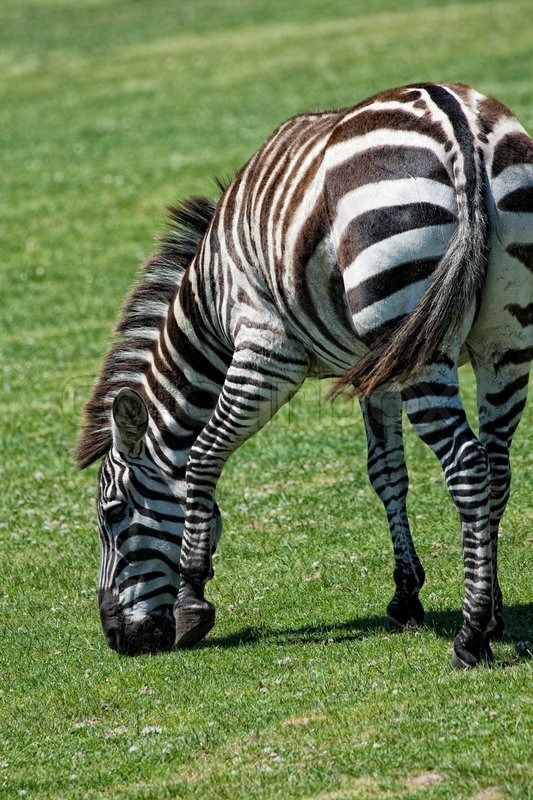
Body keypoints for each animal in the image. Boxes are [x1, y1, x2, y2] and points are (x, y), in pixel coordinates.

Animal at [77, 83, 532, 666]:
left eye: (113, 513)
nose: (117, 639)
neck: (210, 303)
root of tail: (456, 121)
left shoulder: (265, 352)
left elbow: (203, 455)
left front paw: (191, 598)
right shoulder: (375, 368)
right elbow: (387, 472)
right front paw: (406, 597)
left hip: (413, 327)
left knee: (470, 467)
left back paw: (471, 636)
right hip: (501, 340)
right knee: (496, 468)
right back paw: (491, 613)